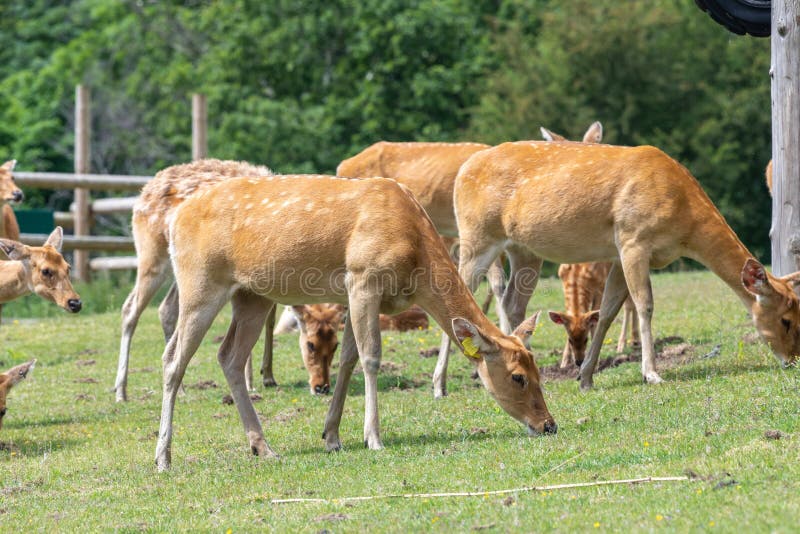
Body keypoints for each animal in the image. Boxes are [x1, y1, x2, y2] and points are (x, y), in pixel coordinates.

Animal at [115, 159, 274, 402]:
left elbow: (269, 318)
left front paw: (265, 377)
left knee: (166, 308)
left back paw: (180, 388)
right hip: (152, 255)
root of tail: (142, 193)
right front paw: (253, 381)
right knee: (130, 307)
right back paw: (121, 391)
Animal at [154, 174, 555, 471]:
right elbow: (371, 356)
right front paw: (373, 437)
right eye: (517, 377)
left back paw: (262, 447)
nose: (548, 425)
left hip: (253, 295)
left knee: (229, 356)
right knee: (173, 358)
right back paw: (163, 457)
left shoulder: (354, 295)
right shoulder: (364, 277)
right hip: (200, 282)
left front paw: (331, 436)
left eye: (538, 371)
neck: (415, 260)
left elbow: (348, 358)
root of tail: (173, 222)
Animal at [434, 140, 800, 392]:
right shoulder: (633, 238)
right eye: (785, 319)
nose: (792, 359)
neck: (685, 227)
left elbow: (608, 310)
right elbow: (644, 304)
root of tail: (463, 172)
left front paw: (585, 377)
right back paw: (439, 385)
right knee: (455, 291)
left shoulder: (619, 255)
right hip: (477, 235)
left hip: (523, 249)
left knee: (514, 301)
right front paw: (651, 373)